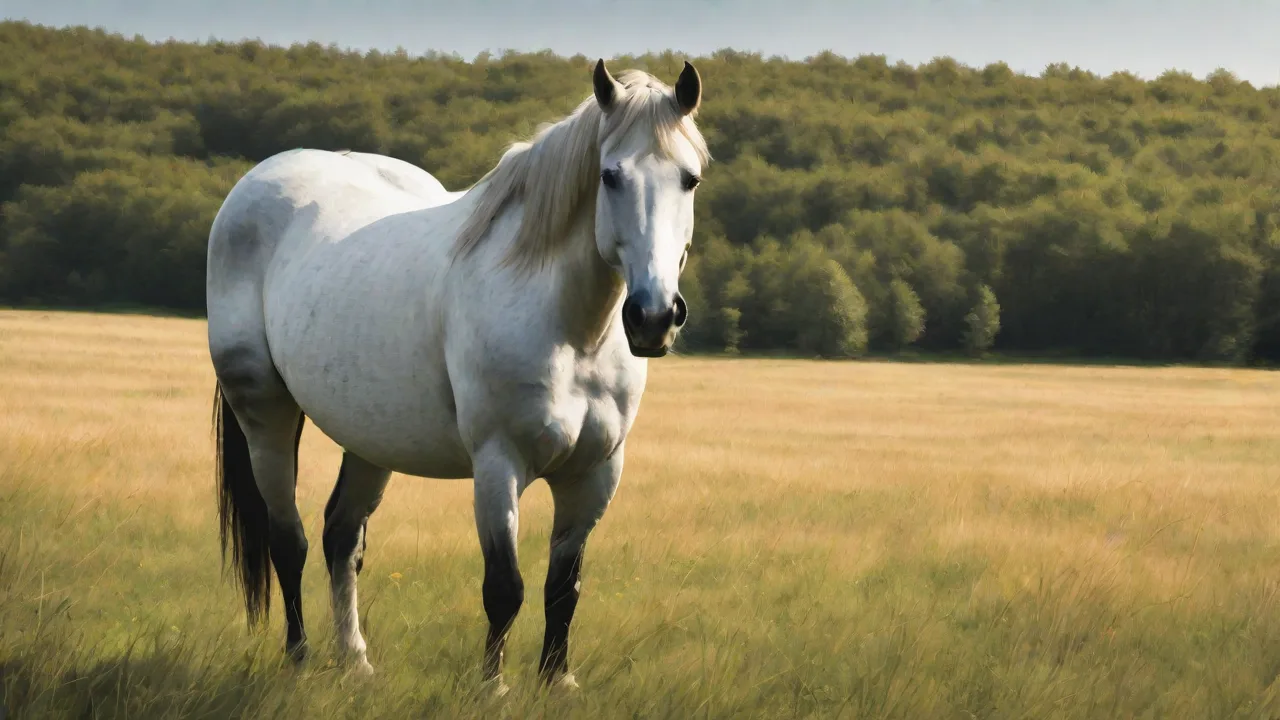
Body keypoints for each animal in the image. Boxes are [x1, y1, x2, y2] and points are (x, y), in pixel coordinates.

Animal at [206, 59, 709, 694]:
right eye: (610, 176)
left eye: (690, 179)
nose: (654, 317)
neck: (571, 331)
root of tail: (254, 186)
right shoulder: (498, 466)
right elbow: (505, 588)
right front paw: (492, 686)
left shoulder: (594, 474)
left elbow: (563, 588)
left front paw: (556, 680)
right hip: (266, 416)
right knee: (287, 540)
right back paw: (298, 658)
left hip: (370, 439)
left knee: (340, 539)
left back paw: (356, 661)